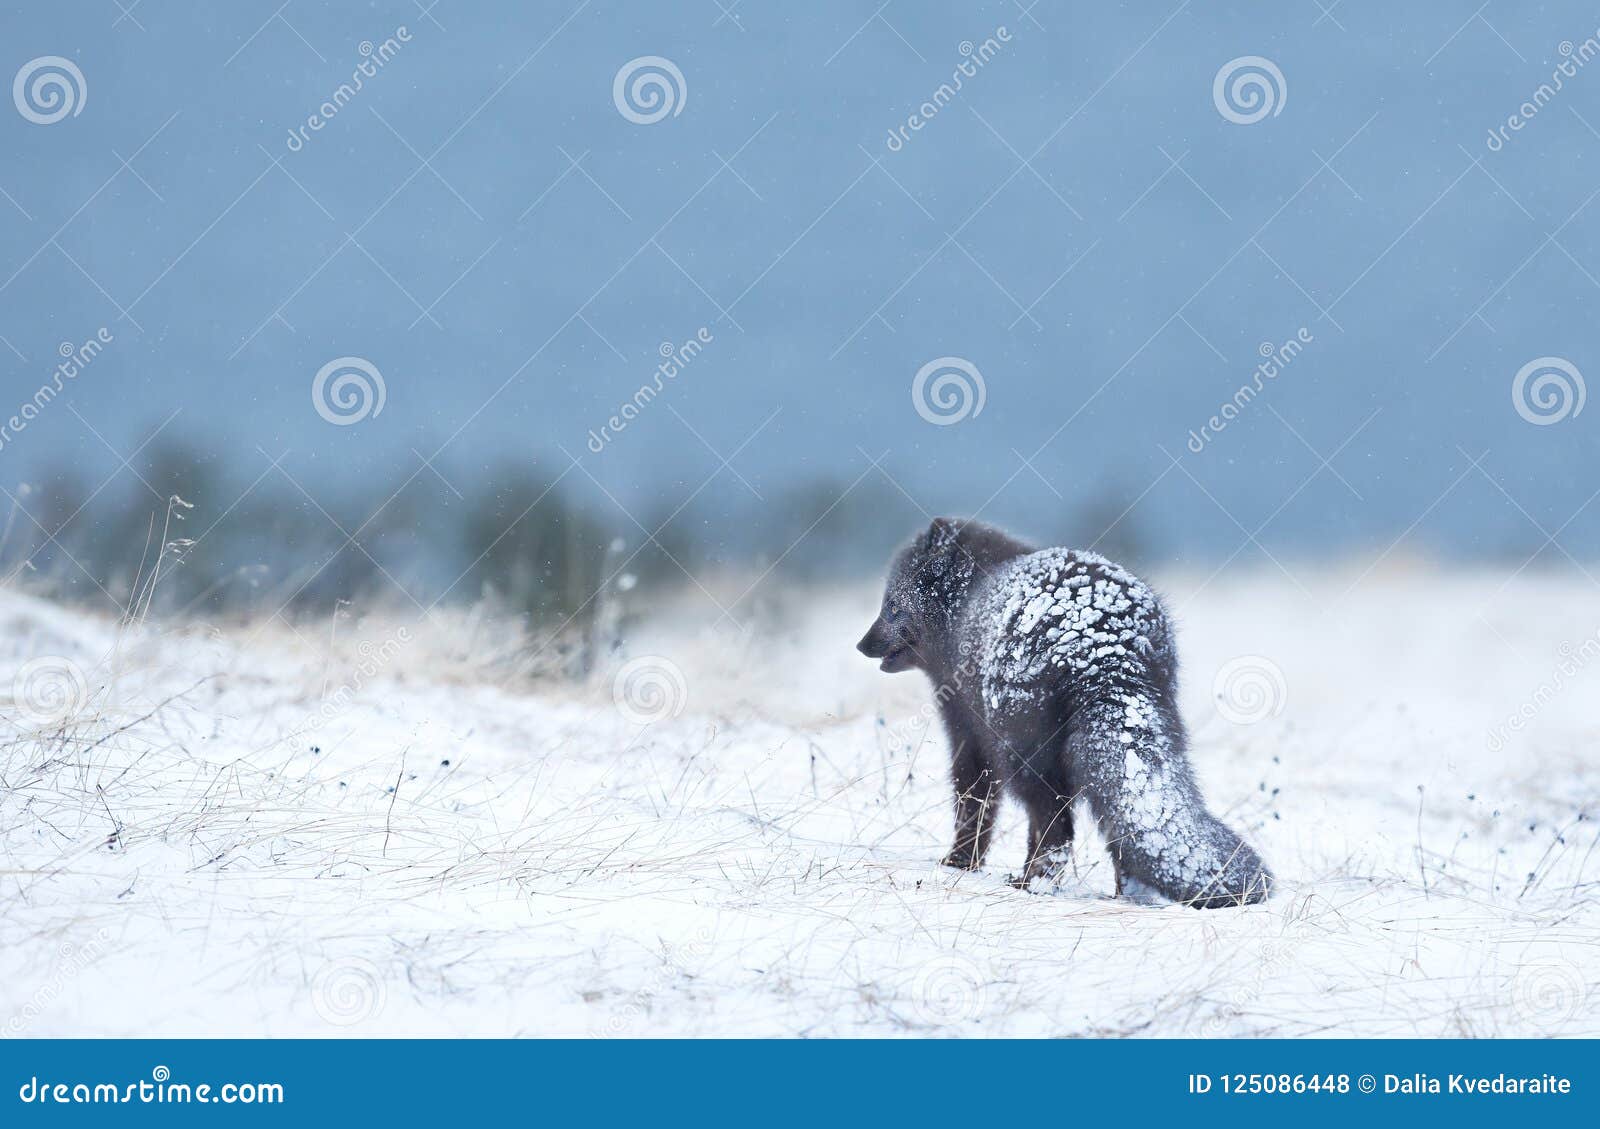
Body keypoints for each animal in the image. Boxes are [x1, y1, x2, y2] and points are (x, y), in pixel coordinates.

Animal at [856, 518, 1272, 908]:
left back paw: (1030, 884)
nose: (862, 645)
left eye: (891, 605)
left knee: (1056, 829)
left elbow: (973, 806)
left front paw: (959, 864)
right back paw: (1125, 896)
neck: (964, 606)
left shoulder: (967, 731)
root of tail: (1103, 643)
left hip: (1023, 753)